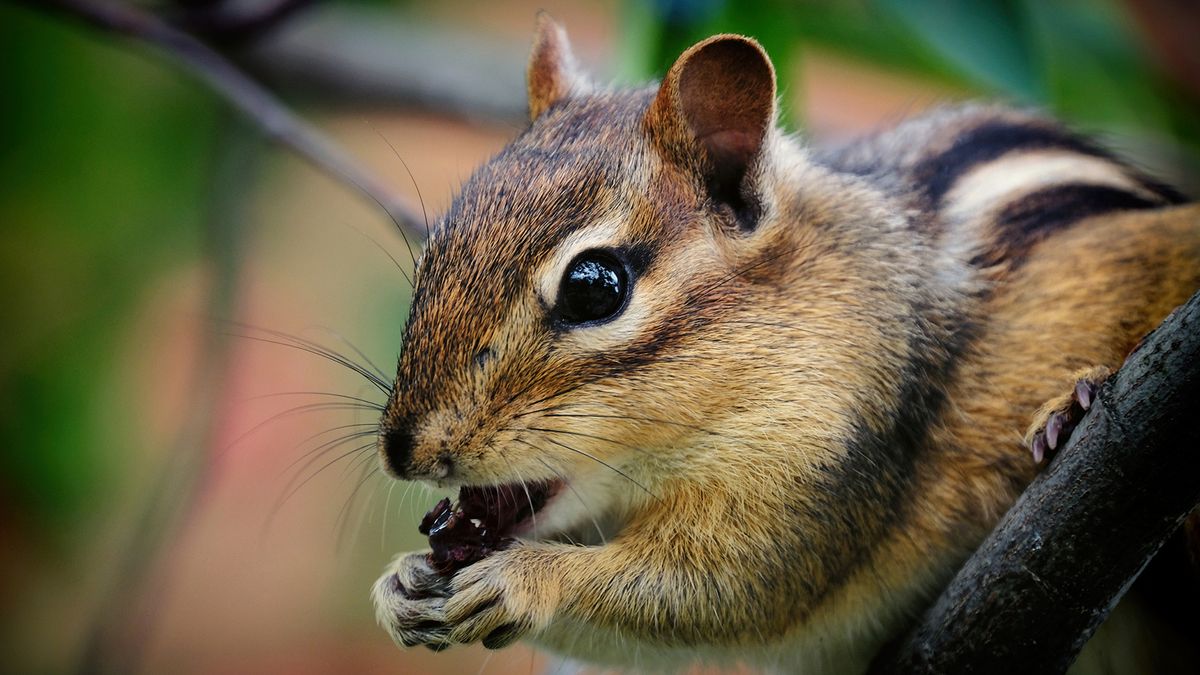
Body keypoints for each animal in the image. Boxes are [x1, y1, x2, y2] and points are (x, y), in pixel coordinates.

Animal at [370, 15, 1200, 674]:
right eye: (435, 248)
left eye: (594, 286)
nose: (405, 451)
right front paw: (400, 584)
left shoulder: (832, 450)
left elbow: (727, 591)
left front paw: (528, 577)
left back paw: (1072, 405)